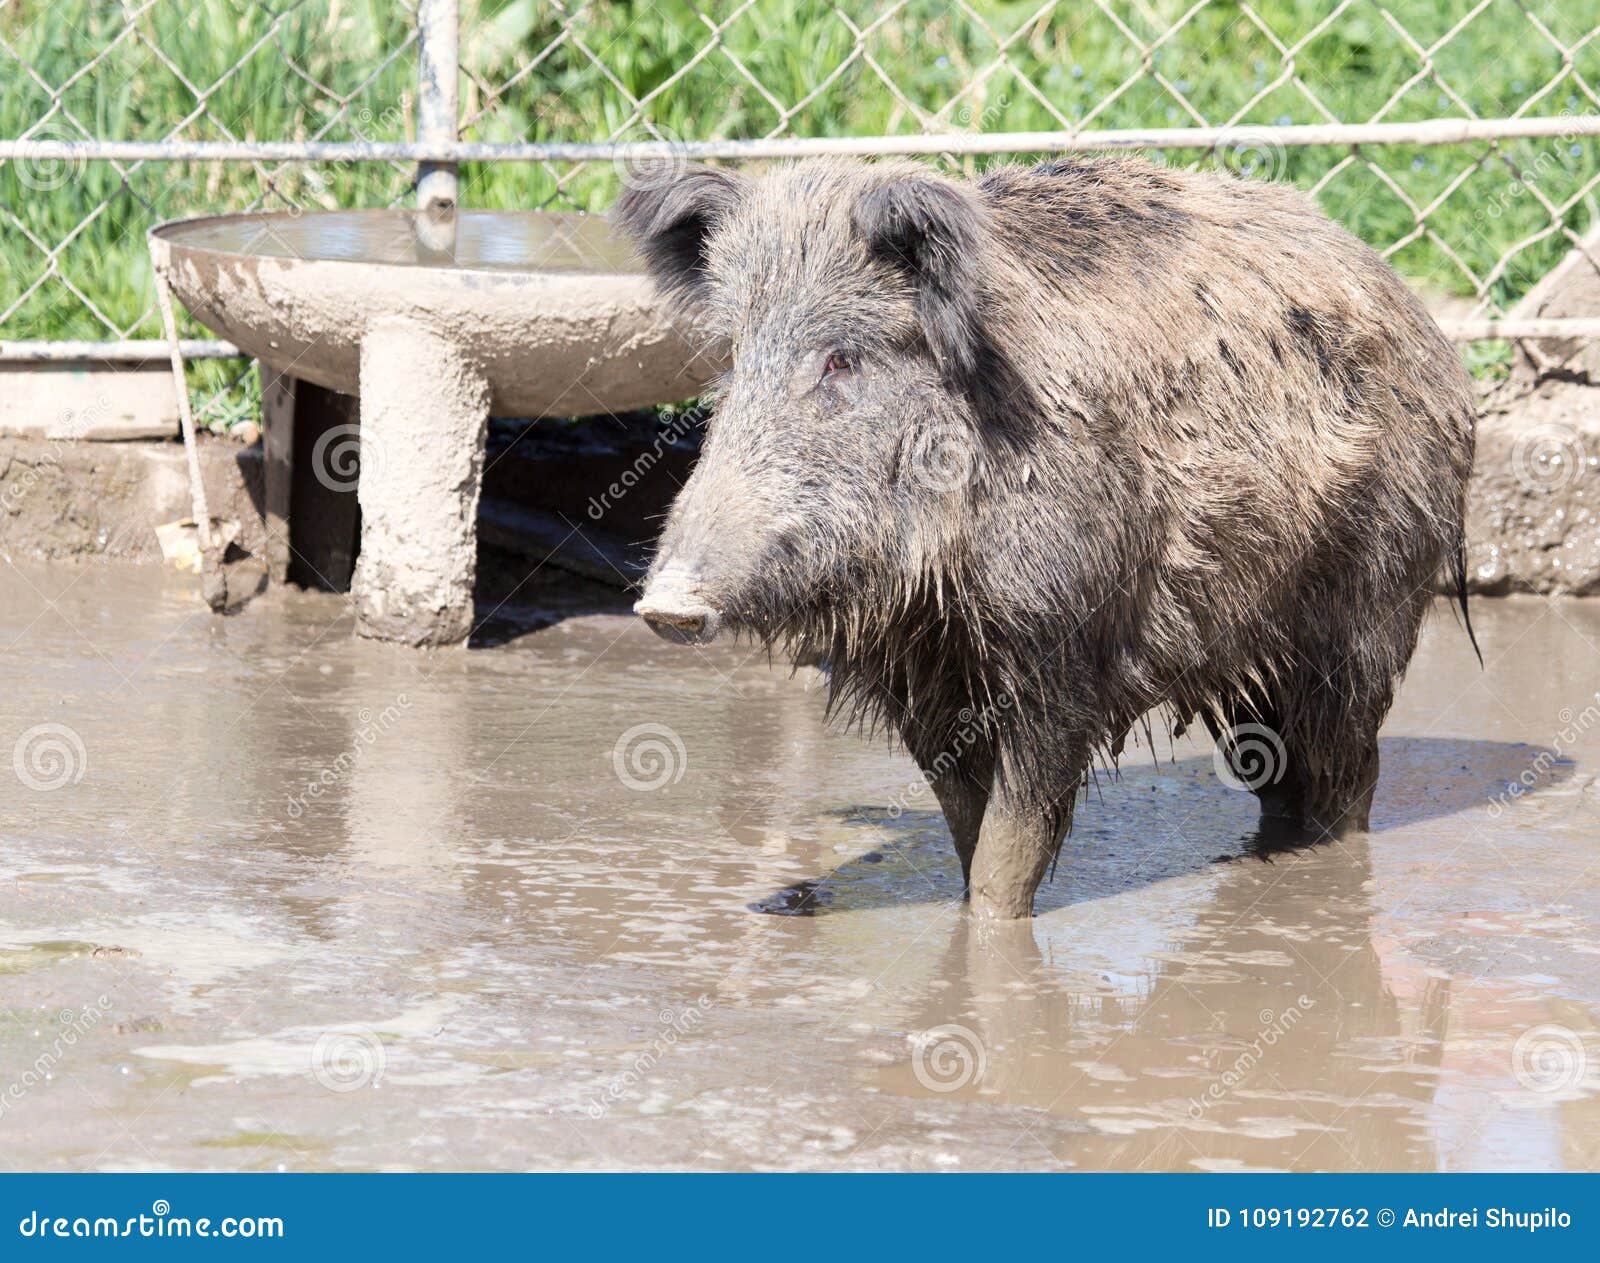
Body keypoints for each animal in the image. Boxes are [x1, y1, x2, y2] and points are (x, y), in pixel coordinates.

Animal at [616, 155, 1475, 919]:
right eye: (735, 358)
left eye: (841, 359)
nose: (664, 605)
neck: (942, 593)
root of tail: (1428, 329)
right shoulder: (914, 671)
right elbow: (966, 824)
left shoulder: (1062, 642)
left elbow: (1016, 835)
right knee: (1277, 772)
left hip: (1373, 601)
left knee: (1350, 770)